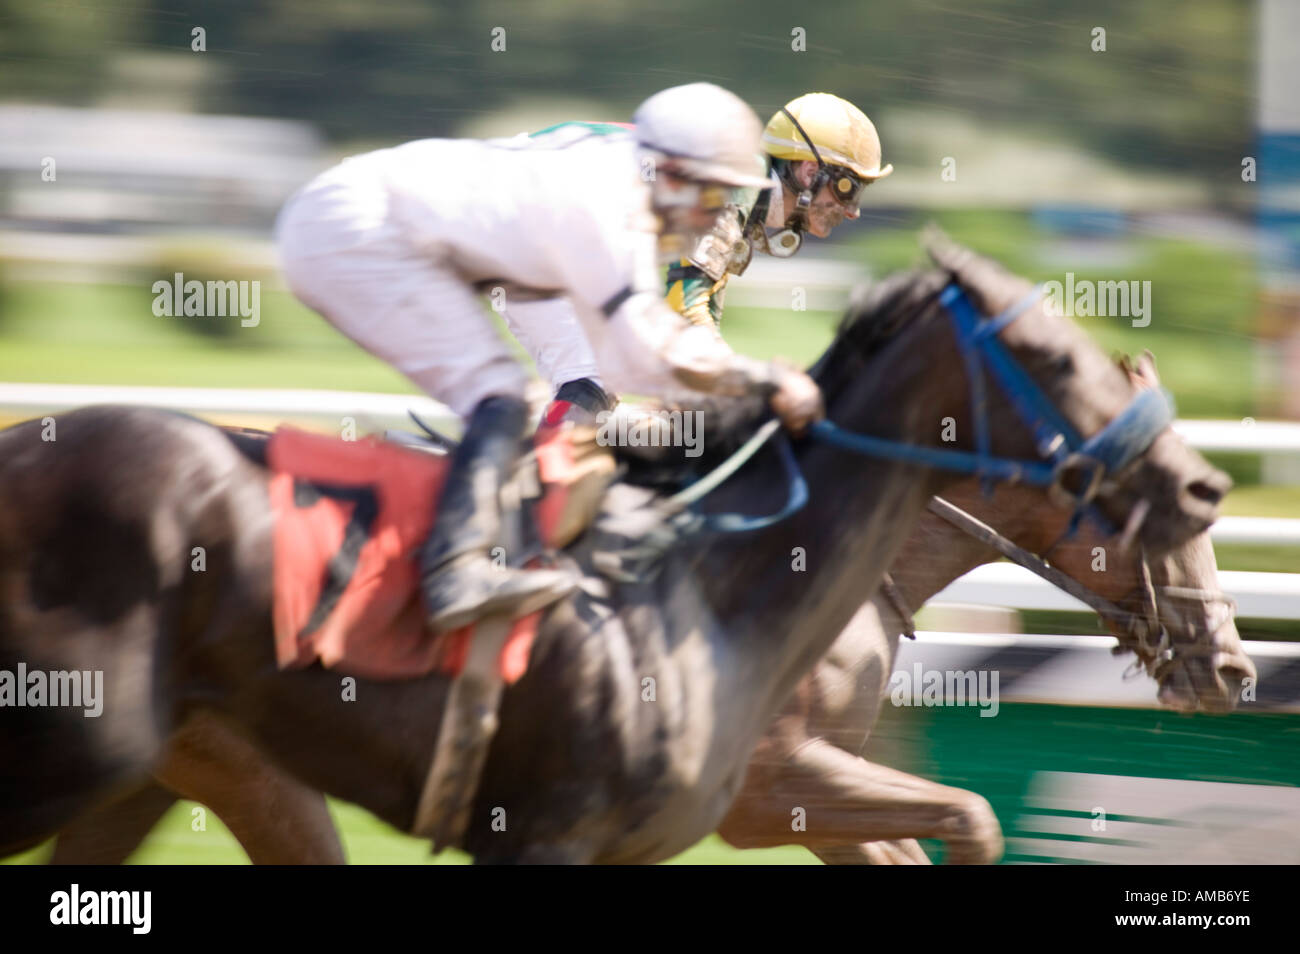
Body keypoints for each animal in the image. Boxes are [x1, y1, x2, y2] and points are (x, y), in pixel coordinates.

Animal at [0, 236, 1229, 863]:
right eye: (1058, 364)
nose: (1224, 662)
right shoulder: (774, 787)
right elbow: (965, 818)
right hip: (231, 771)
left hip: (173, 769)